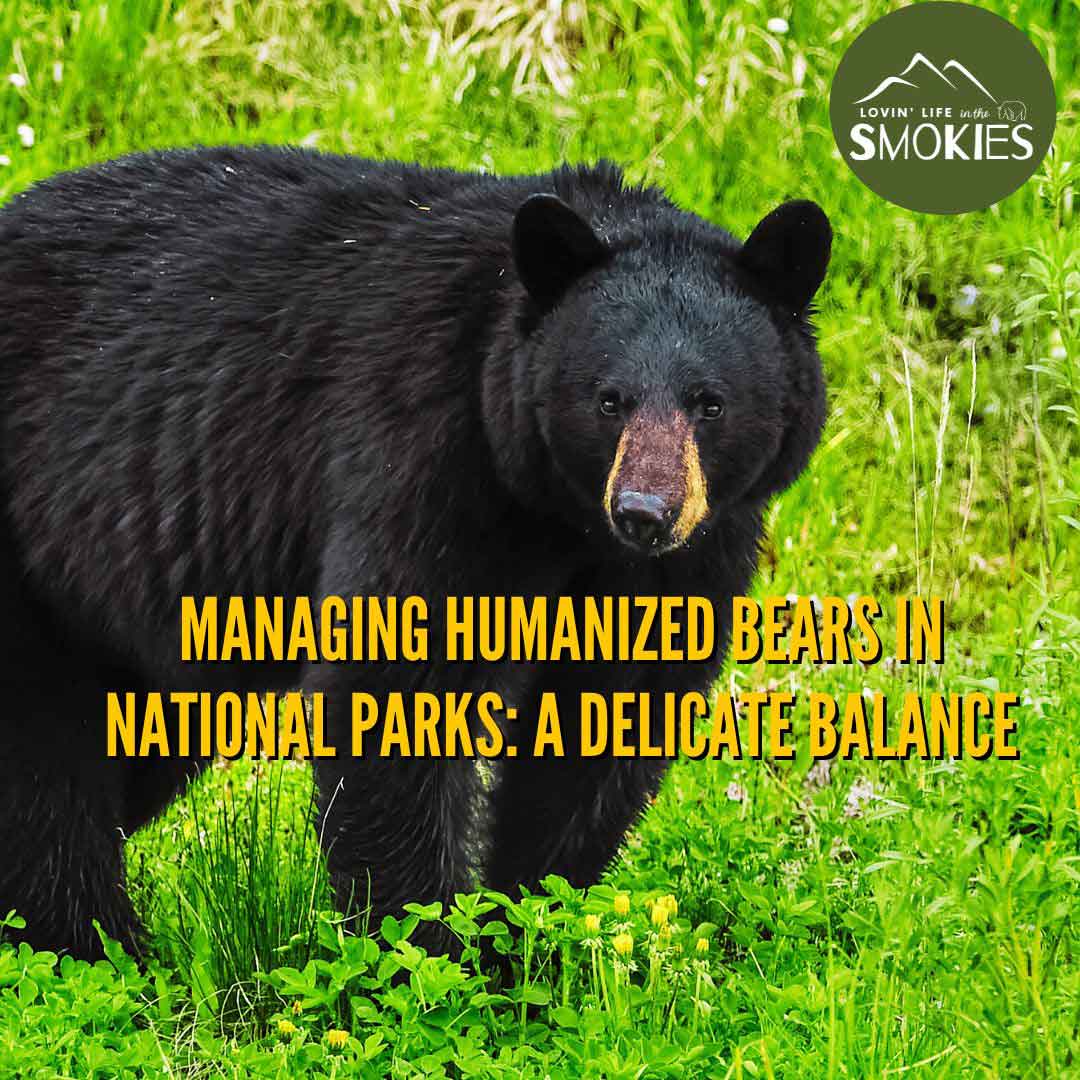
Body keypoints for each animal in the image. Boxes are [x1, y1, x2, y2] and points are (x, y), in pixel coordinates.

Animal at [0, 146, 830, 960]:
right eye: (608, 399)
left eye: (710, 402)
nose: (644, 513)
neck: (561, 518)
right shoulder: (429, 456)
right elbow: (396, 690)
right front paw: (423, 955)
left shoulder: (685, 555)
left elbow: (606, 719)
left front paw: (528, 940)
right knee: (44, 778)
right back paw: (102, 954)